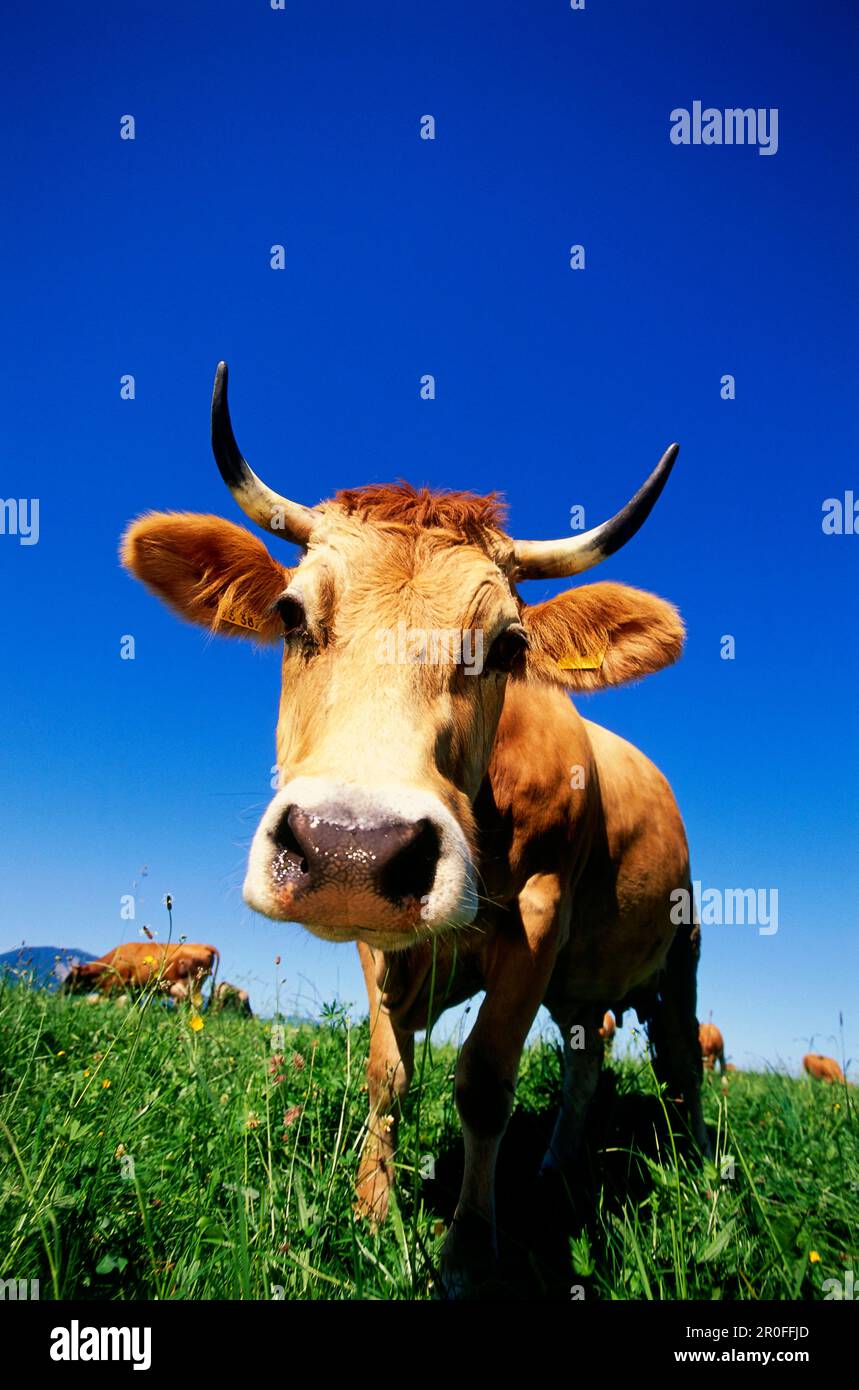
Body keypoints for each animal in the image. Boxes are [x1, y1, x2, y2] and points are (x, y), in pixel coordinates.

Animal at [63, 942, 219, 1003]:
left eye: (69, 978)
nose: (61, 993)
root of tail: (205, 945)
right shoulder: (134, 989)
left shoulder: (114, 985)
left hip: (191, 984)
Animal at [121, 362, 707, 1295]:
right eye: (290, 614)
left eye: (507, 645)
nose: (349, 844)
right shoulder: (377, 937)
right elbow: (386, 1074)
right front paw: (371, 1211)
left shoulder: (539, 914)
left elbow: (484, 1084)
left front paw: (467, 1251)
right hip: (586, 985)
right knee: (588, 1052)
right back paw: (555, 1166)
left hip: (681, 951)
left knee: (681, 1059)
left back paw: (695, 1176)